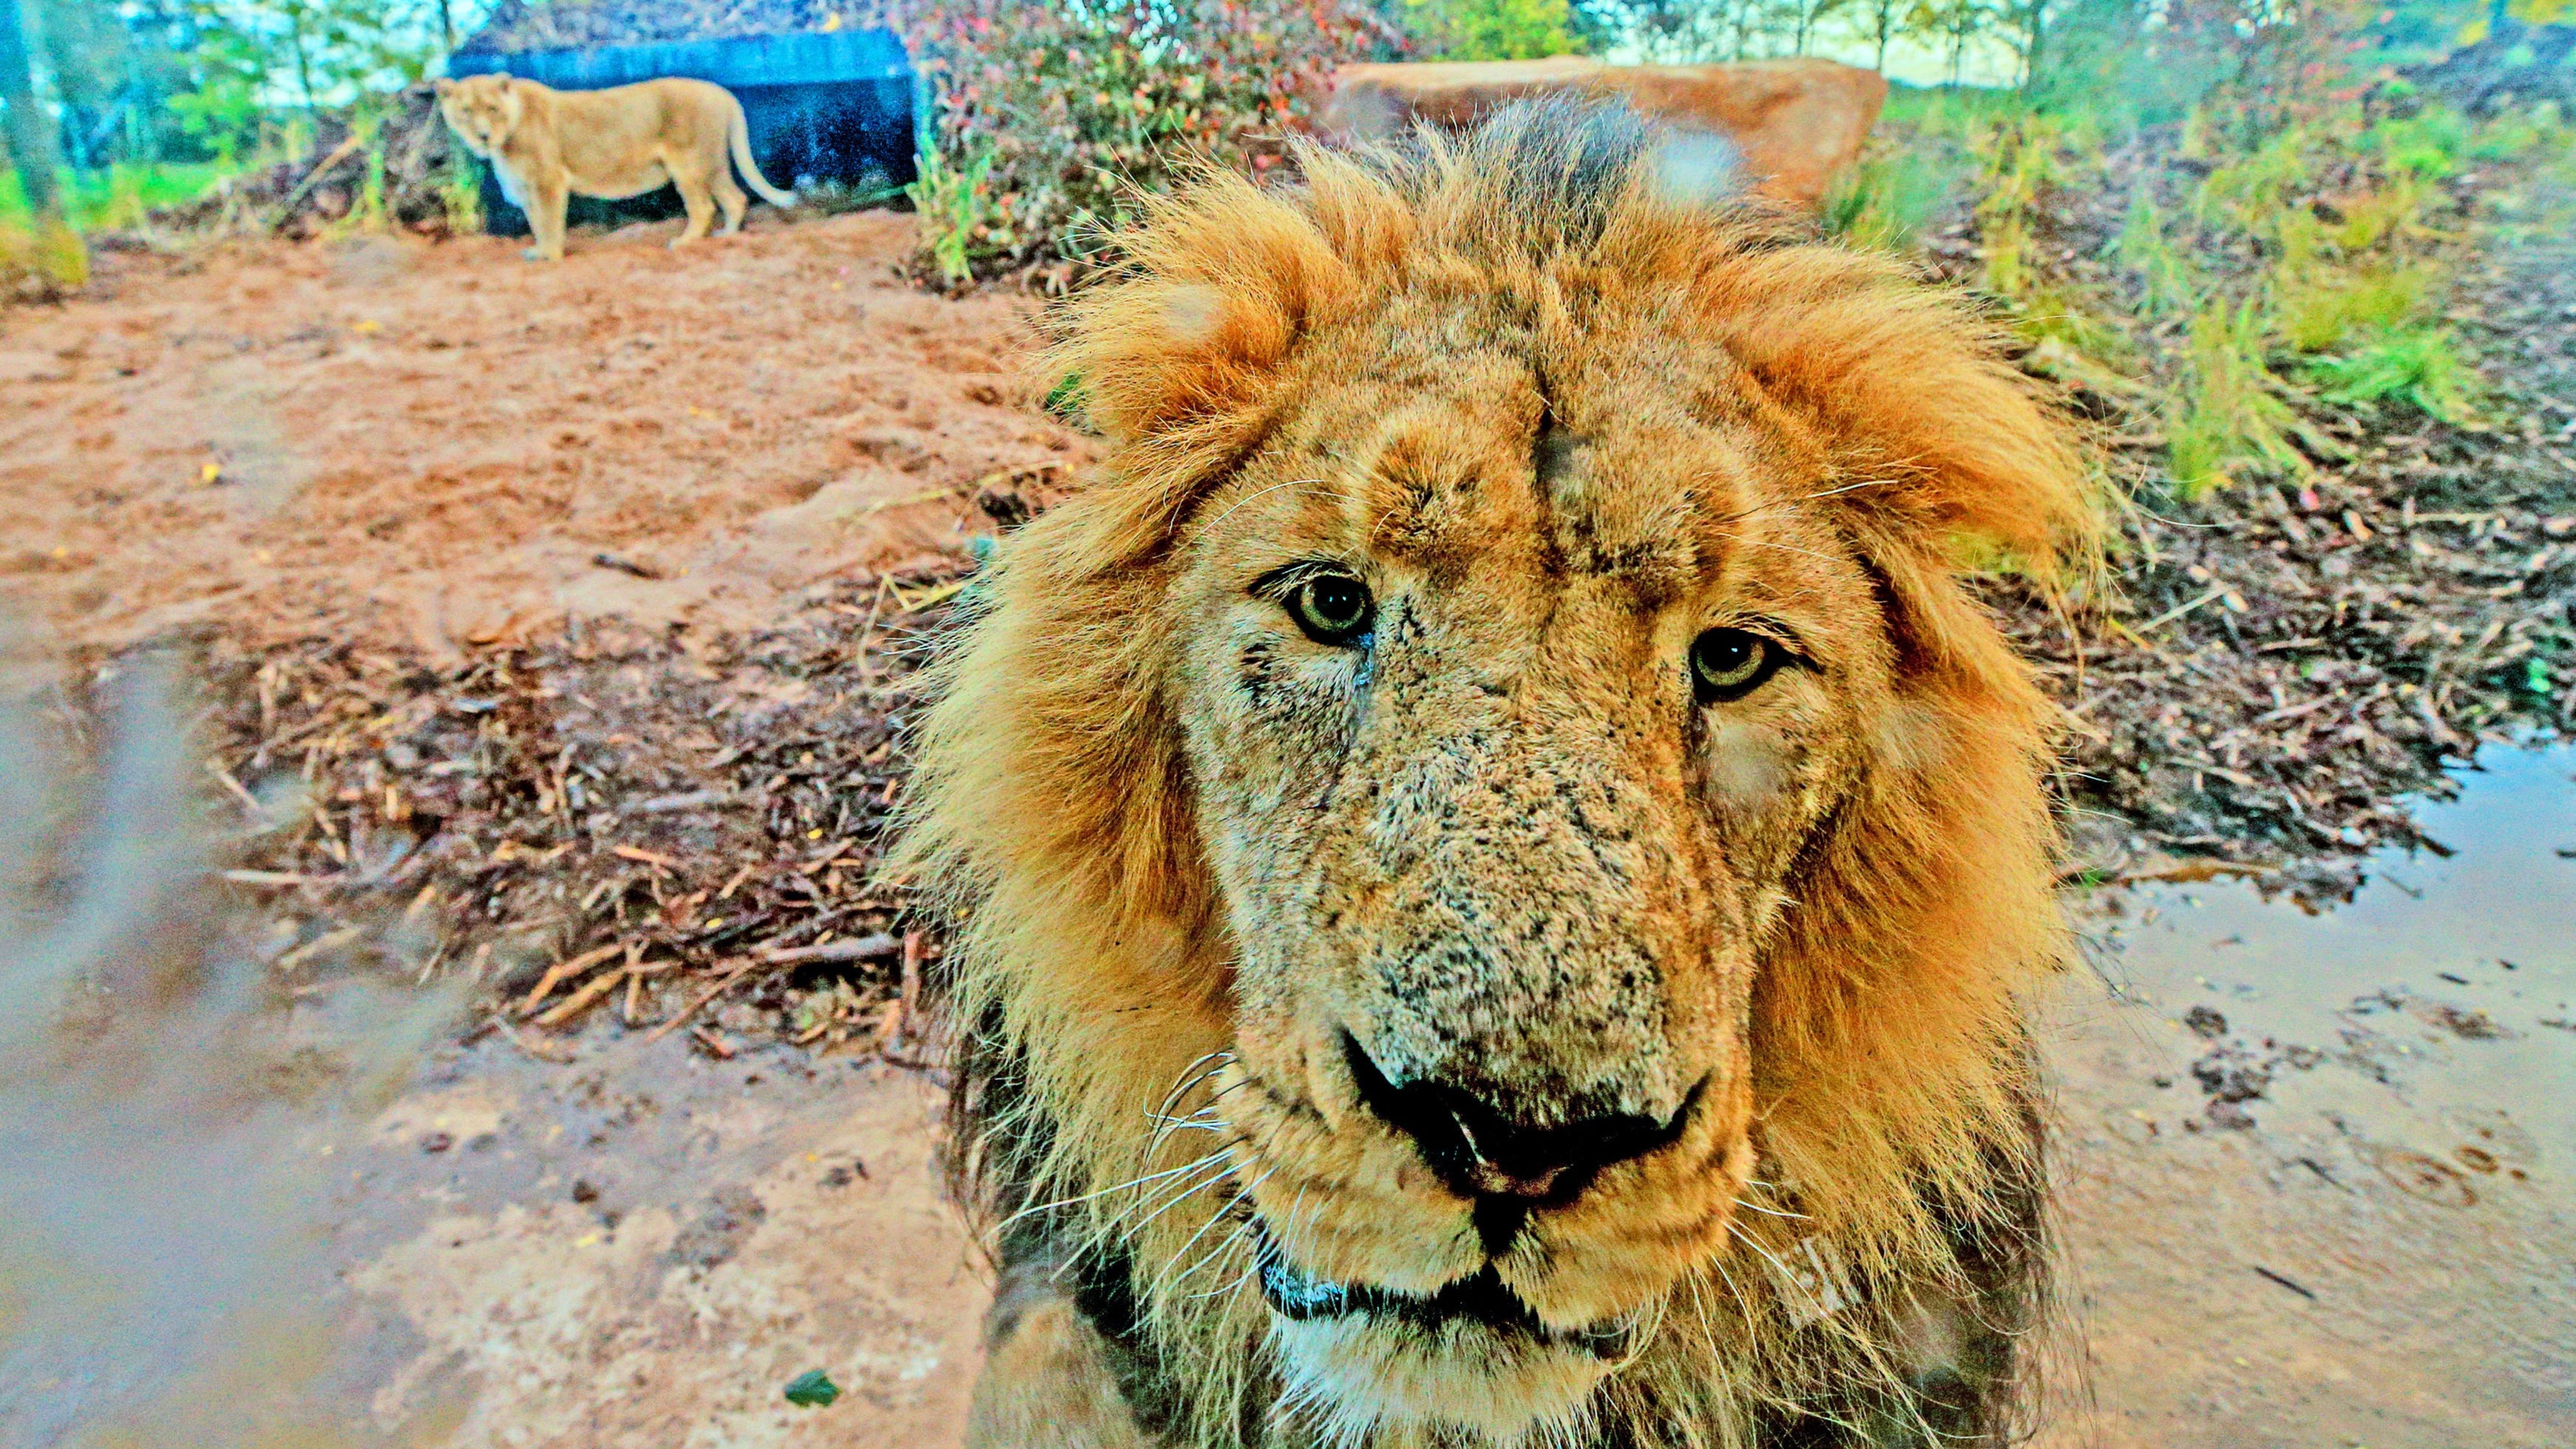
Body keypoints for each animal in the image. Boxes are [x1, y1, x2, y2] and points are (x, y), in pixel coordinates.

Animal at [431, 73, 796, 261]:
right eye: (466, 111)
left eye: (492, 109)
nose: (482, 135)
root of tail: (723, 92)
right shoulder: (528, 187)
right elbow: (535, 222)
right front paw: (538, 252)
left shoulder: (548, 181)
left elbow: (548, 222)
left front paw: (551, 256)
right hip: (713, 162)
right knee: (736, 199)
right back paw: (726, 237)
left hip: (688, 163)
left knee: (704, 207)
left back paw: (685, 243)